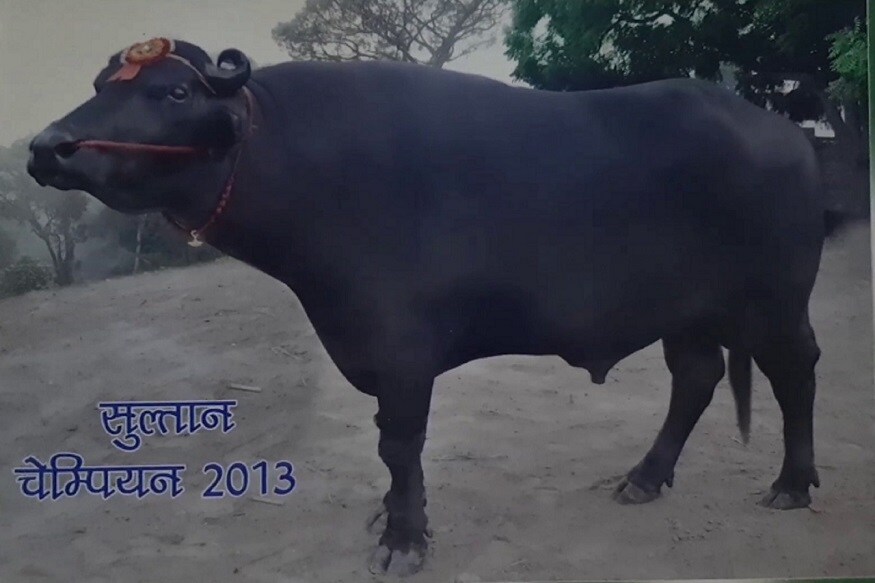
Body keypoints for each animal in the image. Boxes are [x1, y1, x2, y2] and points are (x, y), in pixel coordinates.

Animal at [28, 38, 836, 575]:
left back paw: (791, 484)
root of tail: (785, 132)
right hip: (683, 311)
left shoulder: (401, 352)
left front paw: (403, 537)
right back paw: (642, 477)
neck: (311, 170)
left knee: (796, 372)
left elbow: (399, 444)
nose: (46, 146)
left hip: (775, 299)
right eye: (101, 82)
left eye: (174, 92)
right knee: (696, 376)